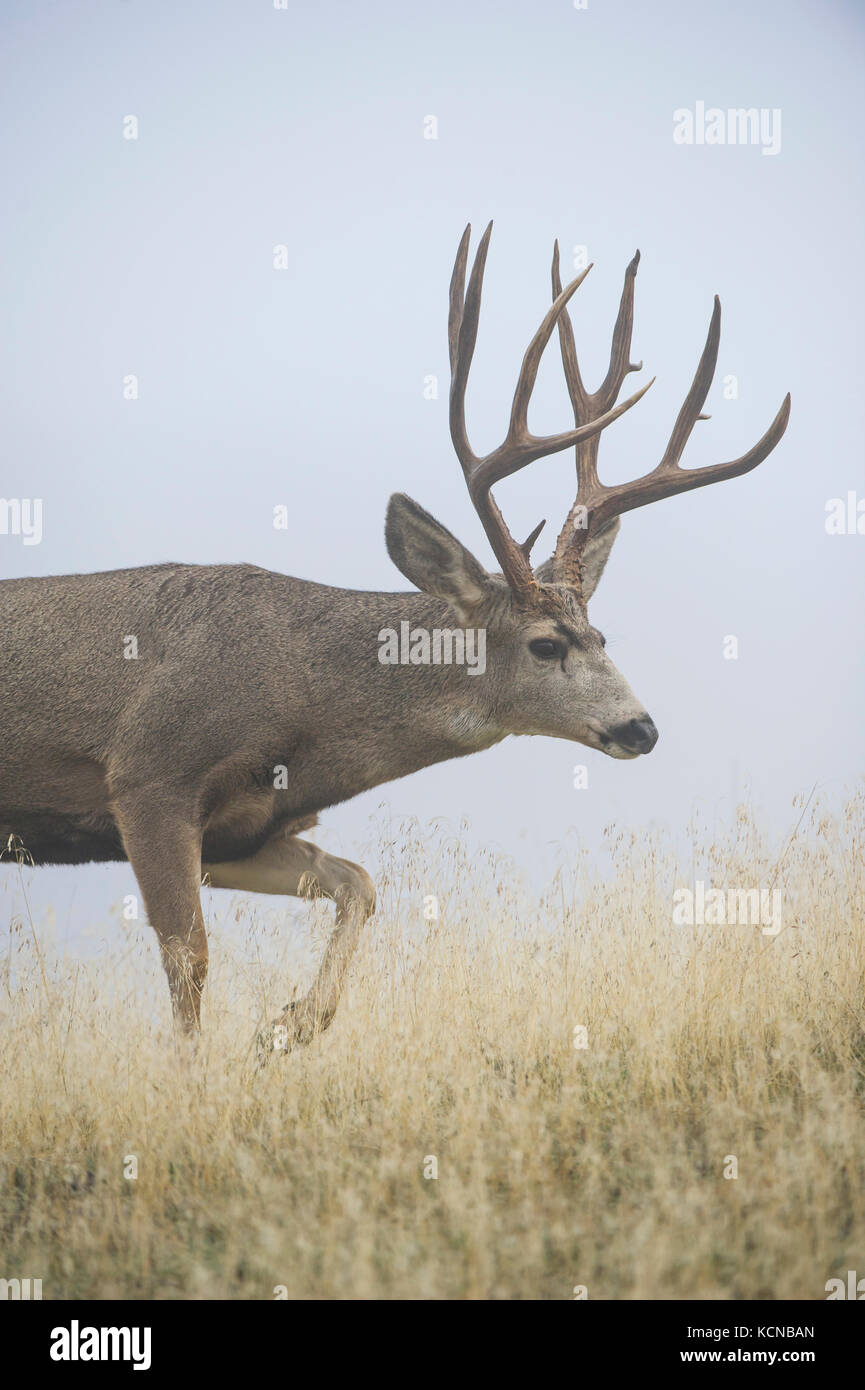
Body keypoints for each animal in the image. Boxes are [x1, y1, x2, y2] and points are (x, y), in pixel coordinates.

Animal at [0, 223, 790, 1053]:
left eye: (601, 633)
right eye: (546, 644)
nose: (641, 728)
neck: (302, 704)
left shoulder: (241, 832)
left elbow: (360, 883)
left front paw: (292, 1022)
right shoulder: (148, 774)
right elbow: (191, 962)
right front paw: (204, 1068)